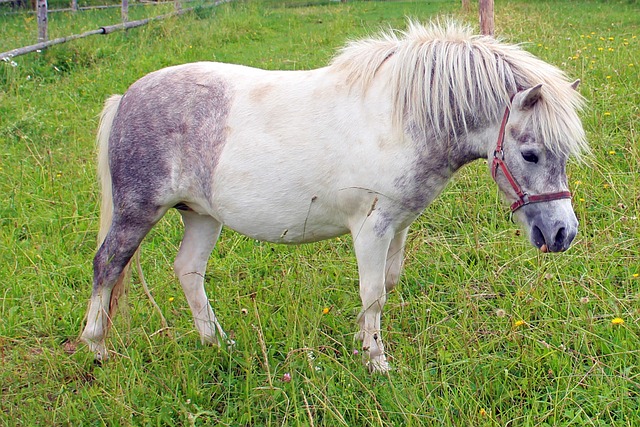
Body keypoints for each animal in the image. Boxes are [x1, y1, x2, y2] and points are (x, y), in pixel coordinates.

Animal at [80, 20, 588, 372]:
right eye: (531, 153)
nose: (563, 233)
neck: (399, 120)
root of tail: (126, 96)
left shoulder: (398, 226)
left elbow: (386, 285)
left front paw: (364, 343)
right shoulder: (370, 228)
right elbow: (373, 293)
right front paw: (377, 363)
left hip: (201, 215)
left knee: (188, 271)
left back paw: (217, 343)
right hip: (138, 211)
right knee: (107, 265)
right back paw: (97, 347)